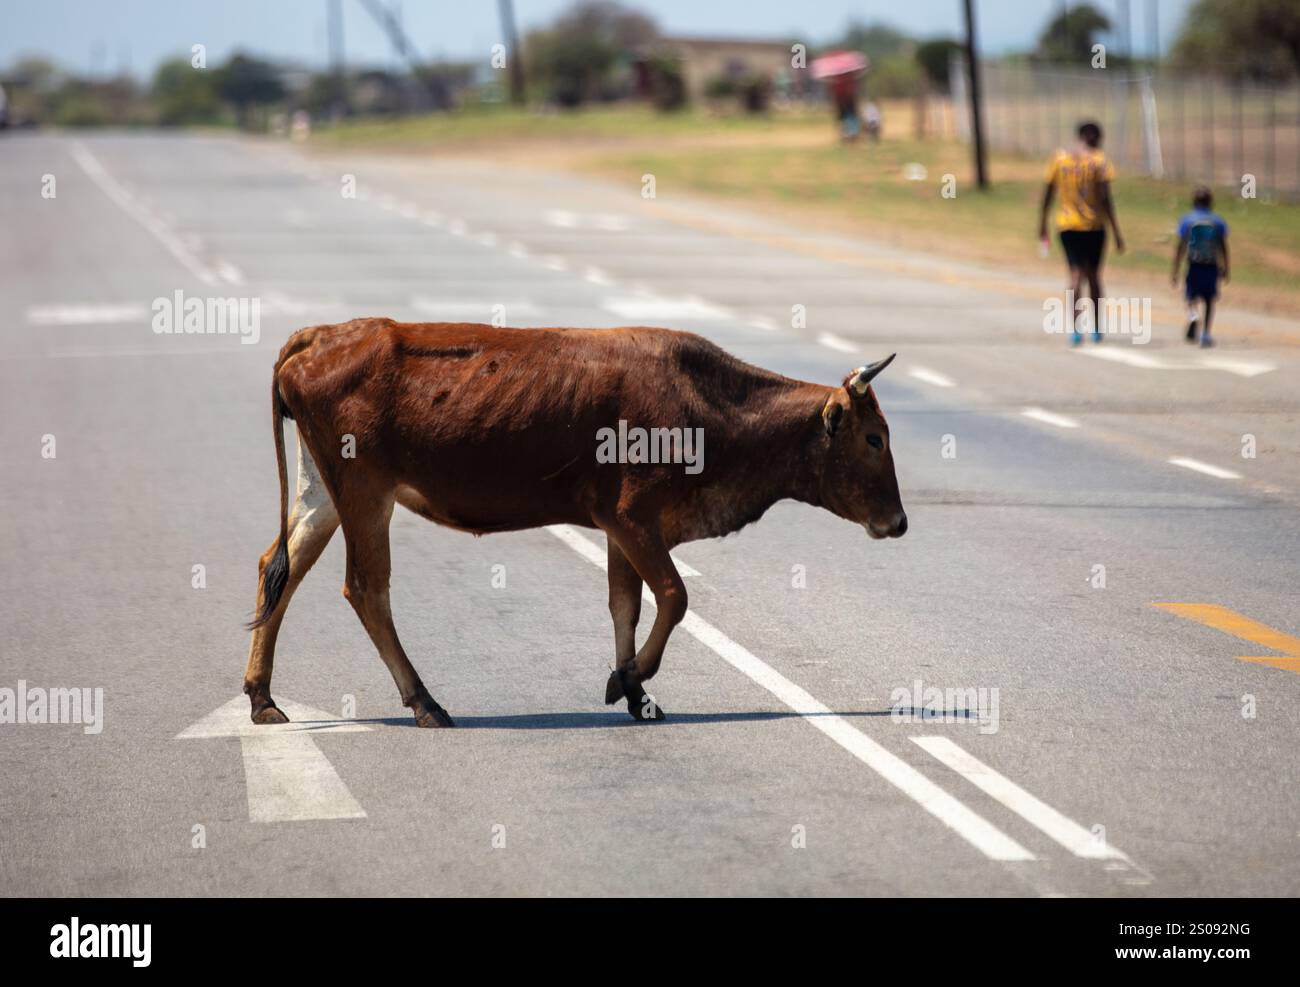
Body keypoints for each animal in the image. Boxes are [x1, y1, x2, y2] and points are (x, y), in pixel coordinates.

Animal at [243, 318, 906, 727]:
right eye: (874, 437)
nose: (898, 522)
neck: (711, 408)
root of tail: (322, 335)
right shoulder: (634, 518)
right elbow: (674, 596)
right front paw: (630, 677)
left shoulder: (622, 528)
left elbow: (626, 606)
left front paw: (635, 690)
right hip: (364, 494)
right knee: (365, 589)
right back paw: (425, 702)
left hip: (326, 492)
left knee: (282, 565)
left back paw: (261, 696)